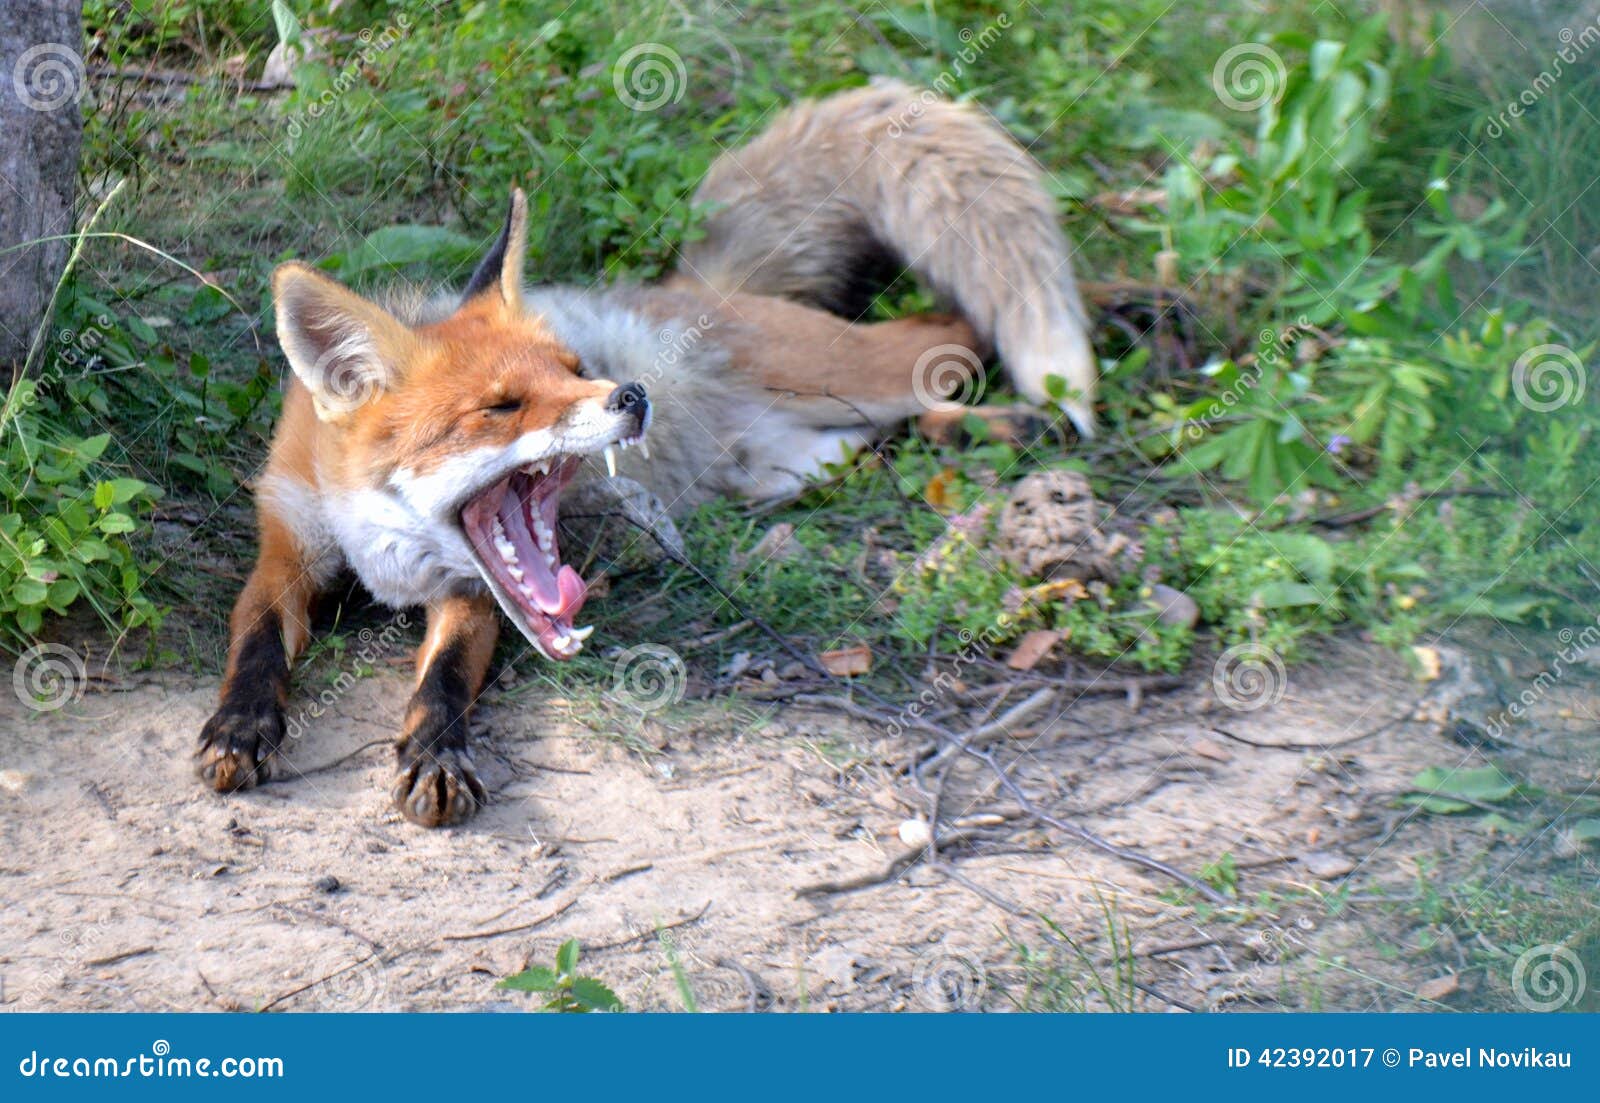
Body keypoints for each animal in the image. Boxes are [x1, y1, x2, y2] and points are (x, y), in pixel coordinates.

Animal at [195, 78, 1098, 826]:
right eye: (501, 407)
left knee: (949, 332)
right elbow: (255, 643)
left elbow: (443, 681)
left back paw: (1062, 381)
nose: (629, 394)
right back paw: (996, 427)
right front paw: (239, 726)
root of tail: (698, 290)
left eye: (573, 370)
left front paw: (437, 753)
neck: (388, 547)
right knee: (889, 427)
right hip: (795, 460)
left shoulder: (474, 593)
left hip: (848, 376)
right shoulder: (285, 549)